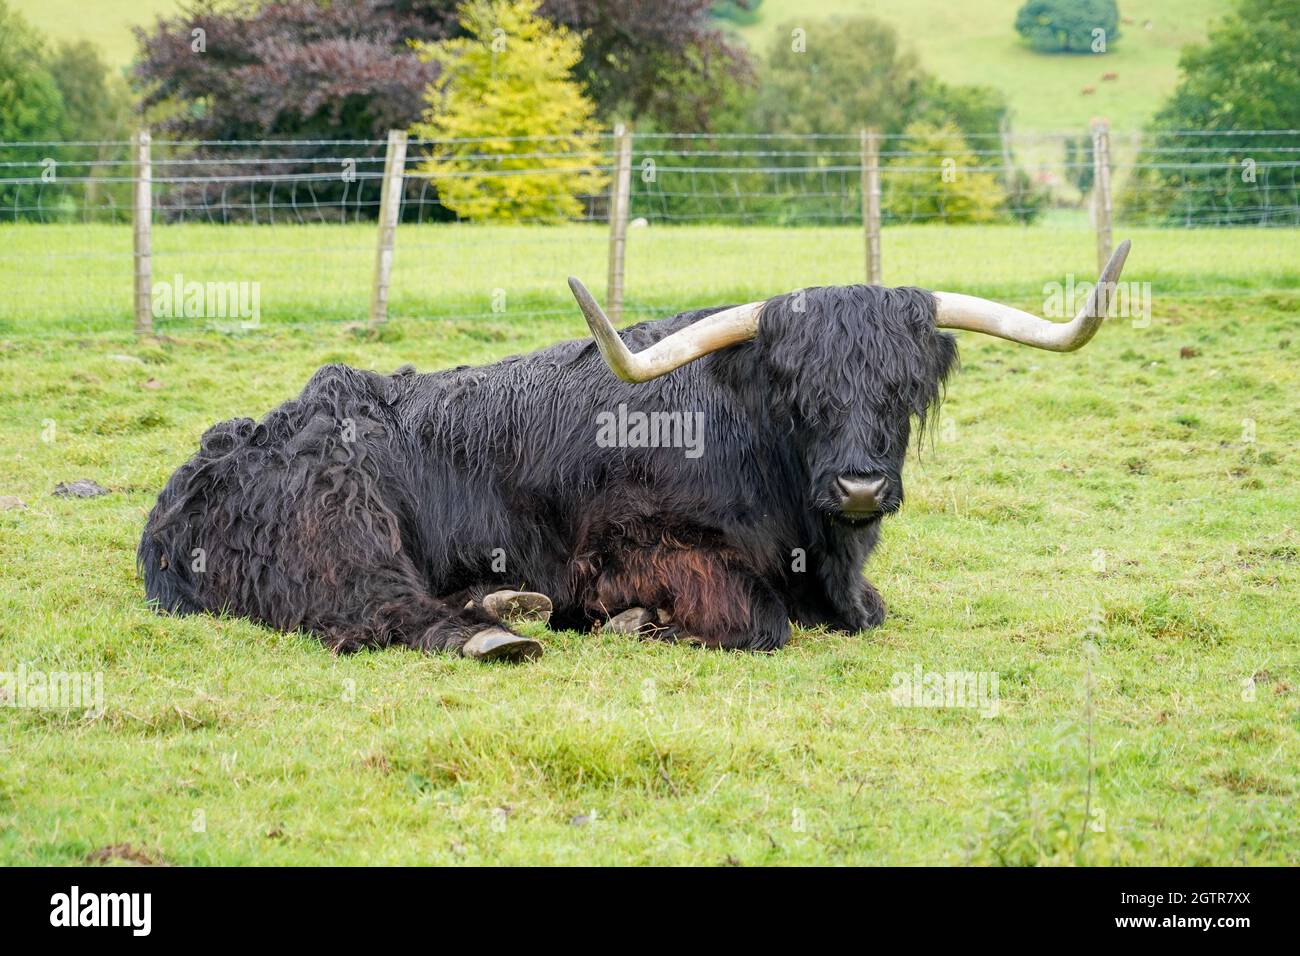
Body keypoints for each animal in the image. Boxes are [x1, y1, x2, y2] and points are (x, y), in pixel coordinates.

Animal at [139, 242, 1132, 662]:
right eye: (800, 392)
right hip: (345, 528)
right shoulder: (631, 550)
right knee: (374, 611)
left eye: (903, 390)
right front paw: (638, 623)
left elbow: (869, 612)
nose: (858, 486)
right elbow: (757, 622)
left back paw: (509, 602)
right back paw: (497, 633)